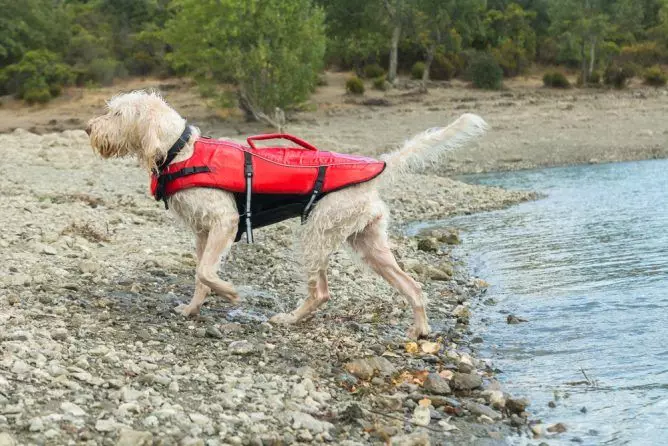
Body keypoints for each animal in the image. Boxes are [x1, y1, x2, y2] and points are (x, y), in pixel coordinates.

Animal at [86, 89, 488, 338]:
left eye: (117, 113)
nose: (88, 127)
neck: (178, 151)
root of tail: (379, 170)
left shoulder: (224, 223)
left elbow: (205, 272)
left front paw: (231, 293)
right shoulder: (203, 233)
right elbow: (200, 274)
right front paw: (192, 309)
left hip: (316, 233)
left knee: (321, 292)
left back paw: (290, 318)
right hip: (368, 243)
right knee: (412, 285)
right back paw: (419, 329)